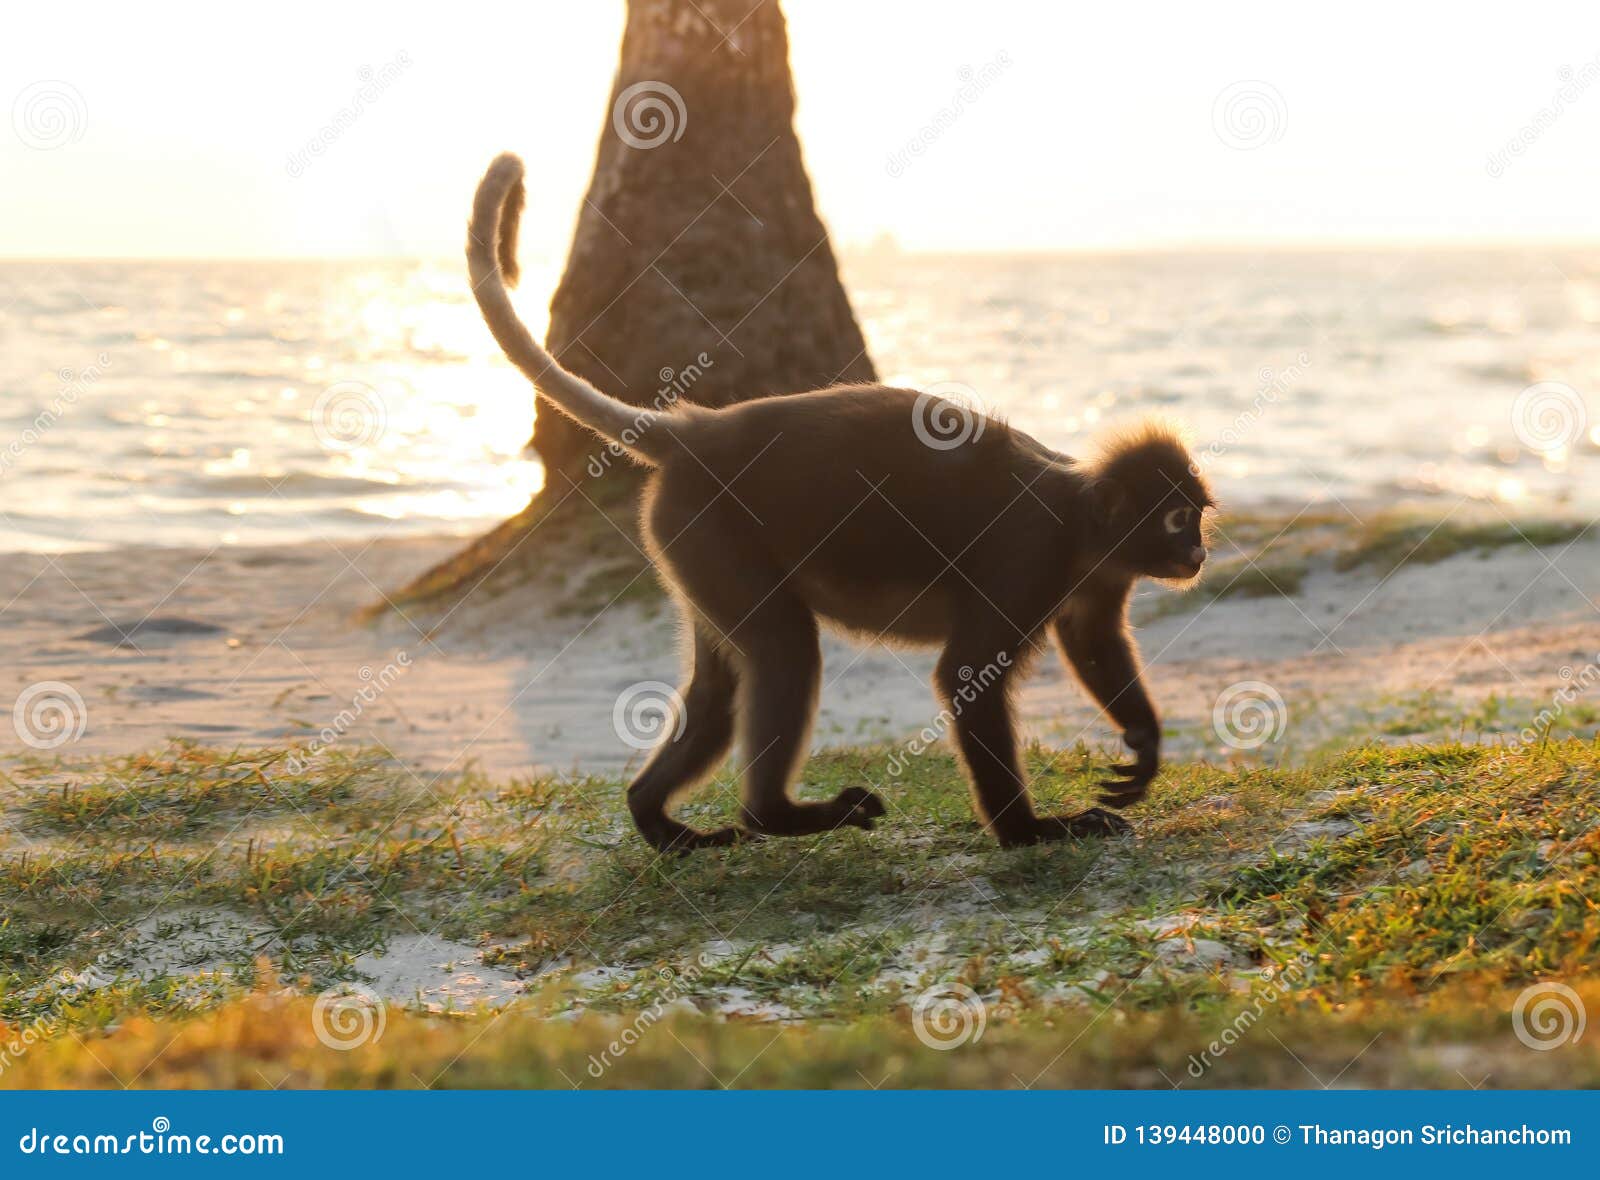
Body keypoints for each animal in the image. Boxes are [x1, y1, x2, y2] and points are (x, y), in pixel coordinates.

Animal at [466, 153, 1215, 852]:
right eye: (1179, 519)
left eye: (1199, 516)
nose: (1199, 551)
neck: (1079, 520)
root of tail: (697, 430)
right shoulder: (1029, 559)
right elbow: (964, 677)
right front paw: (1027, 832)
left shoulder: (1099, 573)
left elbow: (1092, 641)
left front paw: (1144, 741)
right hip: (709, 529)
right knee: (783, 647)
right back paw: (773, 814)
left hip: (688, 540)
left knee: (724, 680)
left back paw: (656, 816)